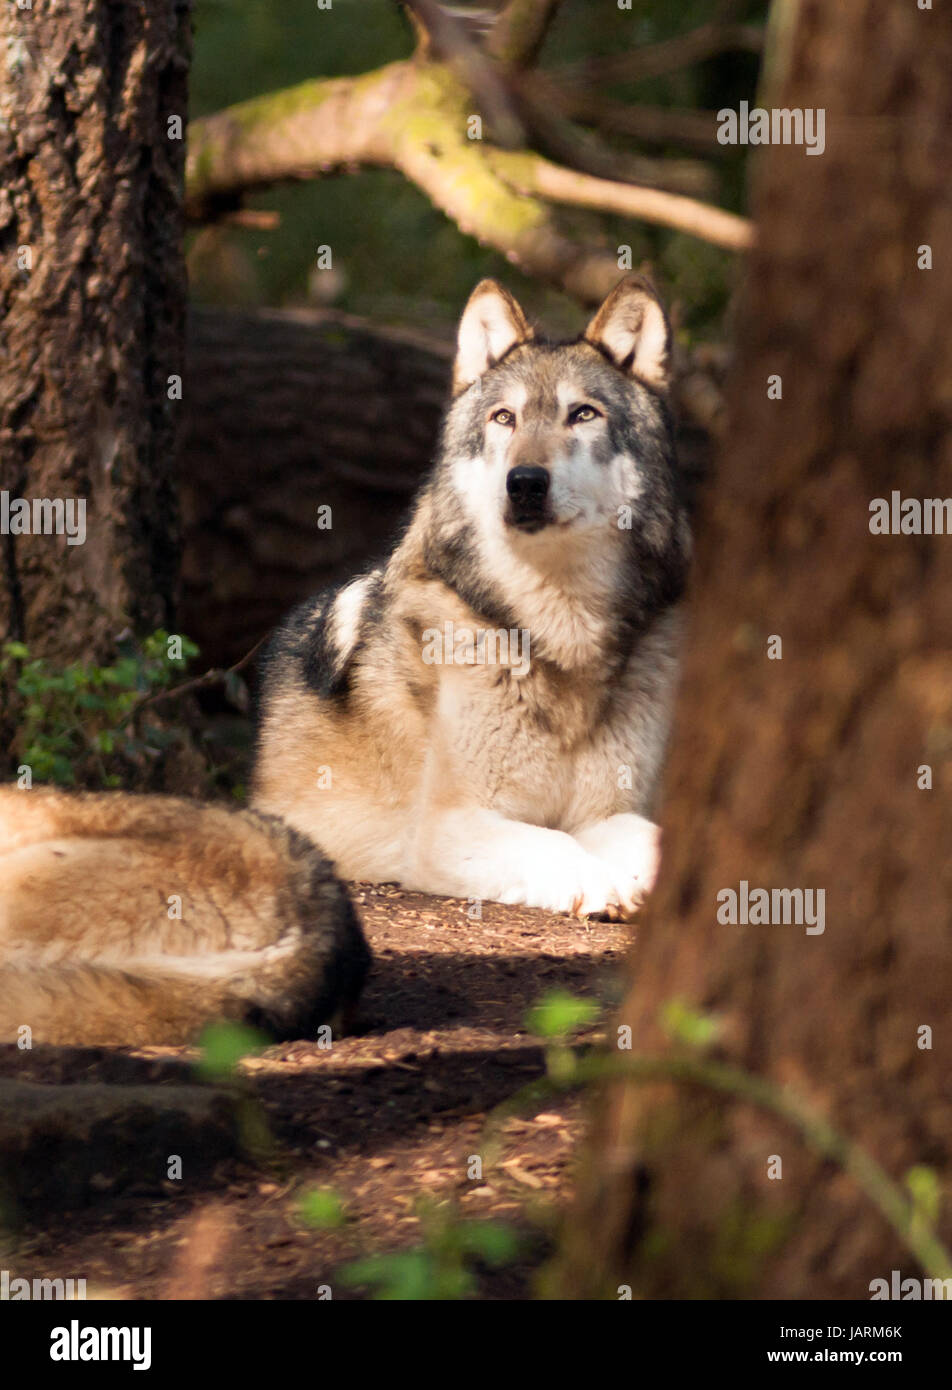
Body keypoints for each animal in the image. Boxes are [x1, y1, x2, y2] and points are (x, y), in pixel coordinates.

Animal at [253, 275, 691, 918]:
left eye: (583, 414)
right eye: (504, 417)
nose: (525, 482)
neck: (560, 631)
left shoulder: (609, 811)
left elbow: (651, 836)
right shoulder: (447, 827)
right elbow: (552, 842)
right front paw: (602, 884)